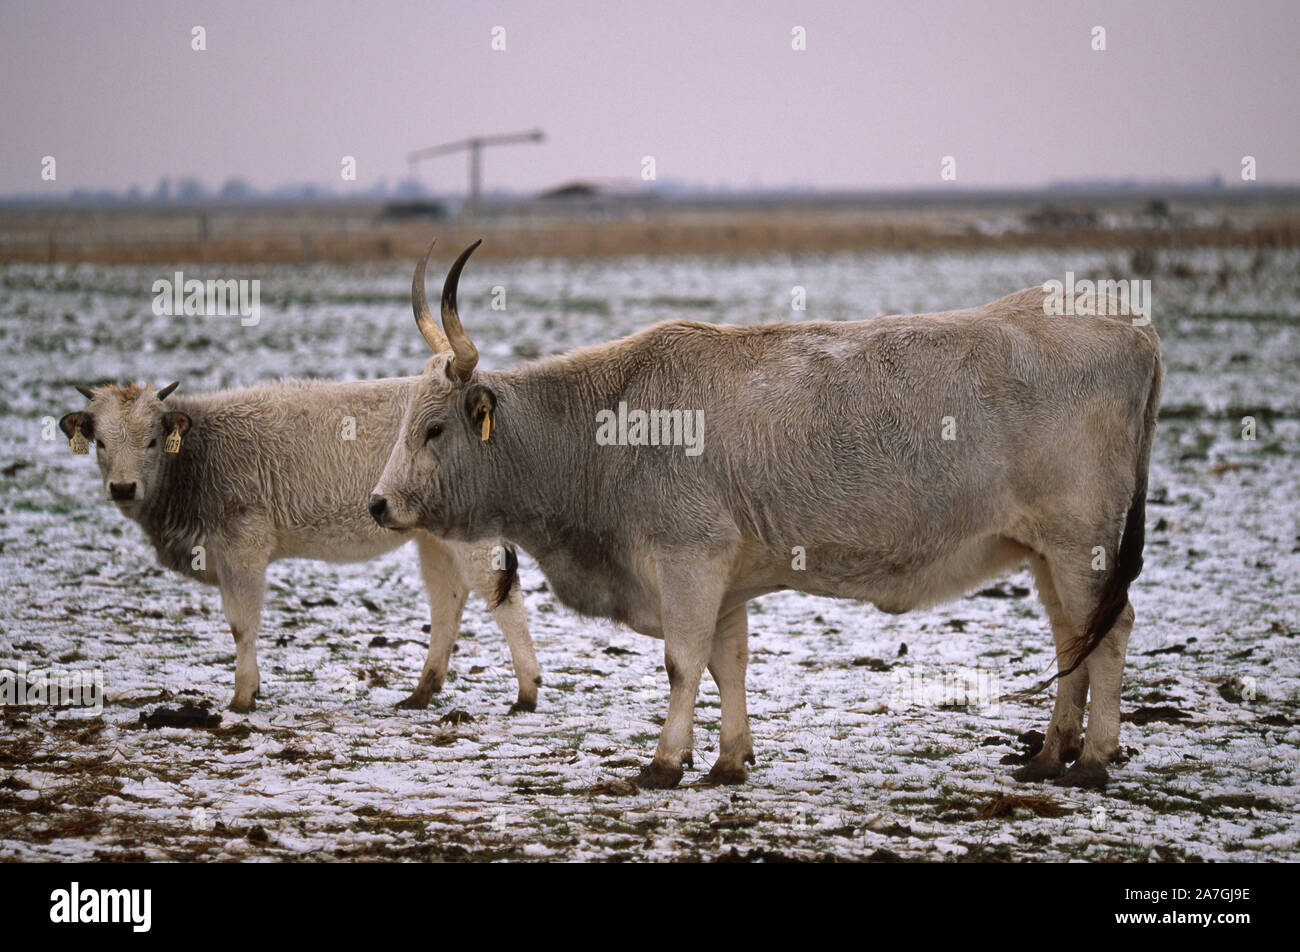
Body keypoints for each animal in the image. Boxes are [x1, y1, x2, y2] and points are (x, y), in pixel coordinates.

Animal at [57, 272, 541, 715]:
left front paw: (242, 699)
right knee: (447, 603)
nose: (123, 486)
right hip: (434, 537)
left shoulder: (243, 548)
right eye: (100, 442)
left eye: (153, 442)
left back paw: (526, 692)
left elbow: (242, 625)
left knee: (501, 595)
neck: (199, 456)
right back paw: (421, 693)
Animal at [371, 240, 1162, 790]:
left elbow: (682, 663)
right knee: (1074, 639)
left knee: (1112, 631)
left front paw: (663, 764)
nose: (378, 503)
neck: (612, 422)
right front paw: (728, 761)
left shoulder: (688, 560)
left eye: (434, 429)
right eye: (406, 422)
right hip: (1046, 552)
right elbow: (729, 666)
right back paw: (1050, 755)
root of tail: (1125, 323)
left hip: (1081, 545)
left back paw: (1093, 761)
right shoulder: (725, 577)